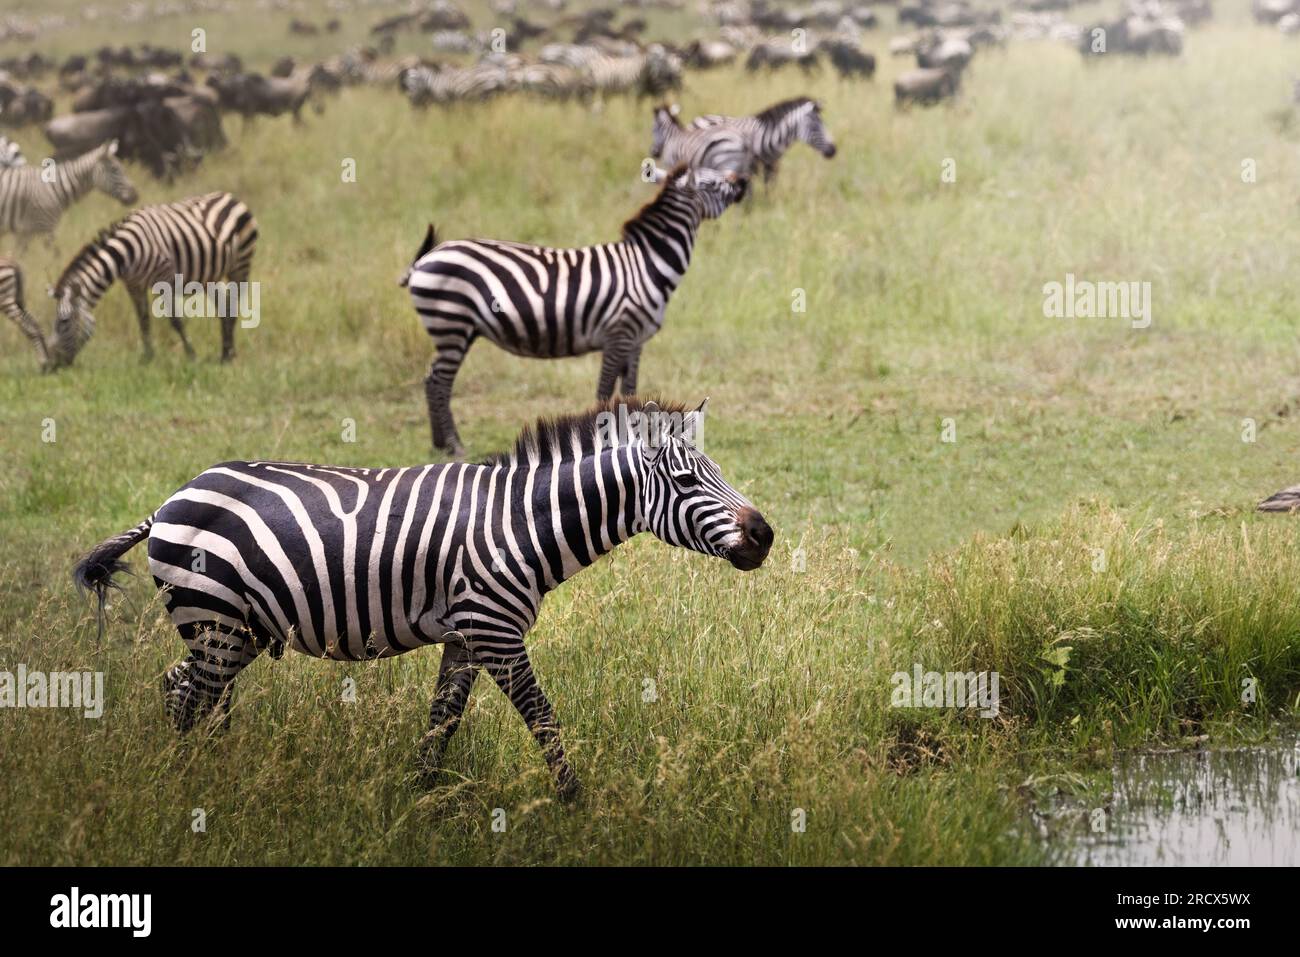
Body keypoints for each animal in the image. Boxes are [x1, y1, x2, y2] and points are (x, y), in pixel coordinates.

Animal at [0, 139, 137, 250]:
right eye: (115, 169)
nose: (136, 196)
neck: (55, 189)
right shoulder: (45, 229)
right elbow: (53, 256)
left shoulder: (25, 232)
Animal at [48, 191, 258, 368]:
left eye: (64, 322)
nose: (53, 365)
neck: (127, 254)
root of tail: (230, 196)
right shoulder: (133, 285)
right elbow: (143, 320)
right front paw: (147, 358)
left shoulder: (163, 279)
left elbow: (175, 320)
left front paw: (191, 355)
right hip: (210, 275)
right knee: (225, 305)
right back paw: (224, 353)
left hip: (241, 264)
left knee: (234, 305)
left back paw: (229, 356)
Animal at [71, 397, 775, 800]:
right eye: (685, 480)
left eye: (716, 471)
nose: (764, 535)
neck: (520, 523)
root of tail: (170, 499)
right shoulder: (494, 630)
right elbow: (542, 719)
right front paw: (578, 804)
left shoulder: (465, 635)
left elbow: (442, 720)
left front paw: (418, 798)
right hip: (214, 618)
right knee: (188, 694)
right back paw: (194, 784)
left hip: (233, 628)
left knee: (190, 691)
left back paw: (211, 775)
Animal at [401, 164, 748, 458]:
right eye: (712, 183)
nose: (743, 181)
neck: (648, 264)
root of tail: (426, 257)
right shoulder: (618, 333)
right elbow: (605, 391)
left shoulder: (635, 340)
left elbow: (630, 390)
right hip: (451, 324)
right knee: (439, 382)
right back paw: (454, 446)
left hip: (459, 328)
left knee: (431, 380)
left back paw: (440, 444)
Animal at [689, 97, 837, 183]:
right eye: (815, 127)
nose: (833, 151)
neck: (766, 138)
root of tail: (699, 118)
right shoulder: (749, 167)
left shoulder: (772, 165)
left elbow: (769, 189)